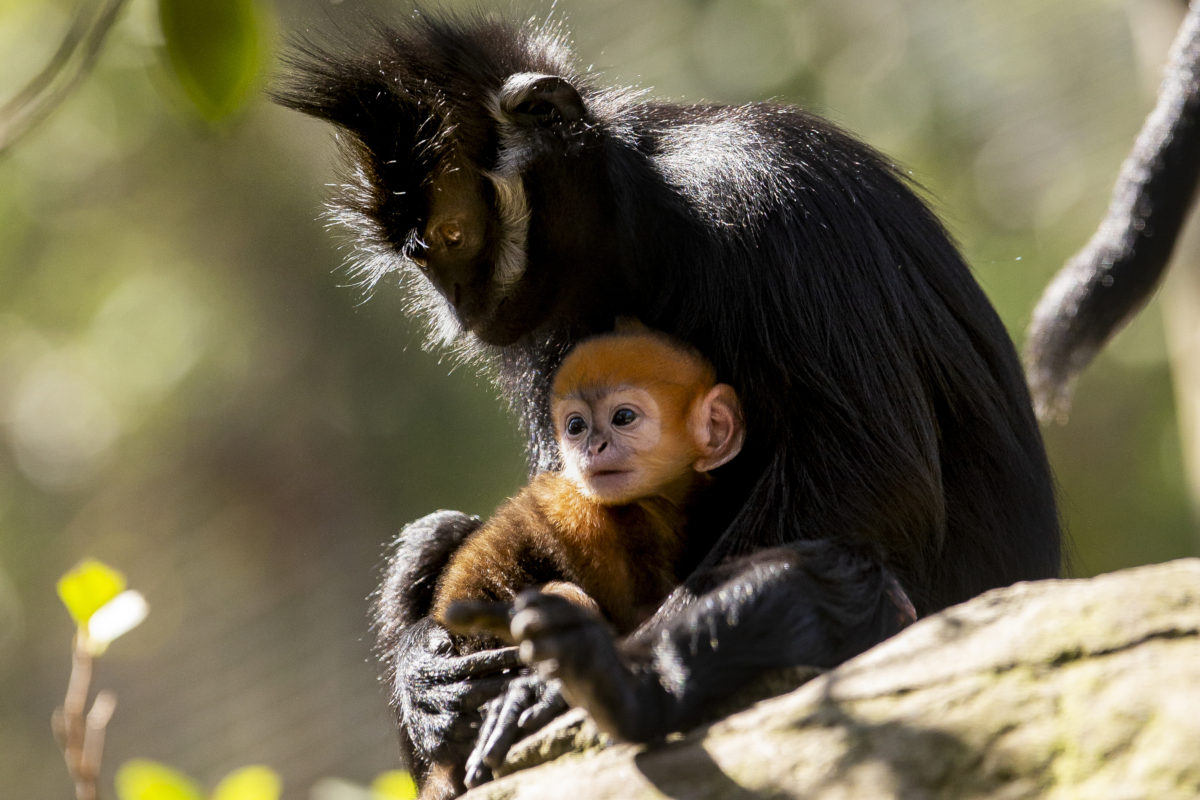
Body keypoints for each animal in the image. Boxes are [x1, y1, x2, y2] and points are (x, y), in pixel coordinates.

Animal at [274, 10, 1059, 791]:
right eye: (424, 261)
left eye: (454, 235)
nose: (455, 303)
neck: (645, 217)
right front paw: (422, 674)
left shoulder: (765, 191)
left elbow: (874, 478)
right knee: (436, 531)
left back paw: (617, 688)